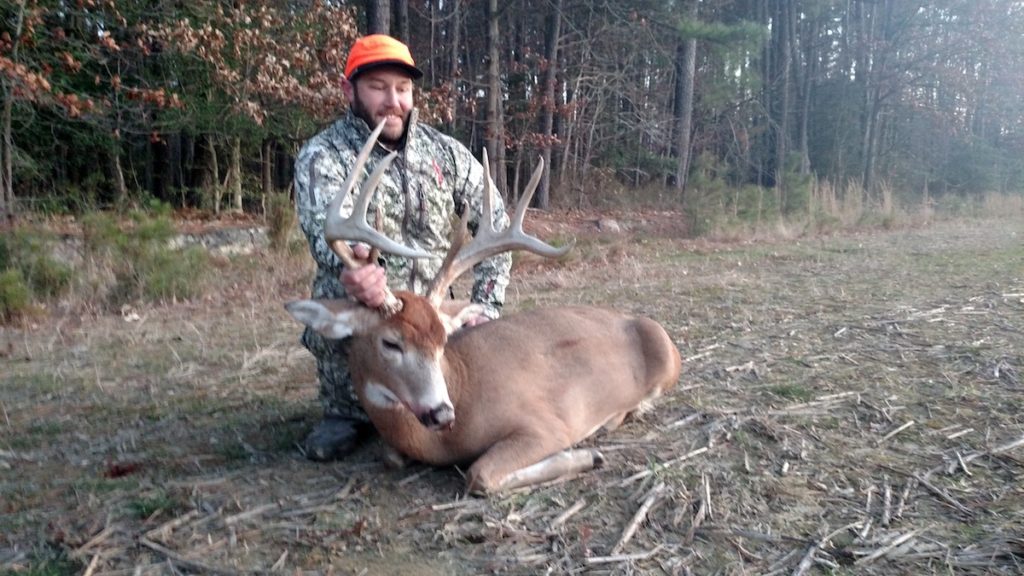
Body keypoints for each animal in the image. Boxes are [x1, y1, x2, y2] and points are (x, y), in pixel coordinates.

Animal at [285, 122, 682, 495]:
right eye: (391, 342)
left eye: (442, 342)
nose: (441, 412)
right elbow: (391, 456)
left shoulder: (546, 424)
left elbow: (480, 474)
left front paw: (587, 455)